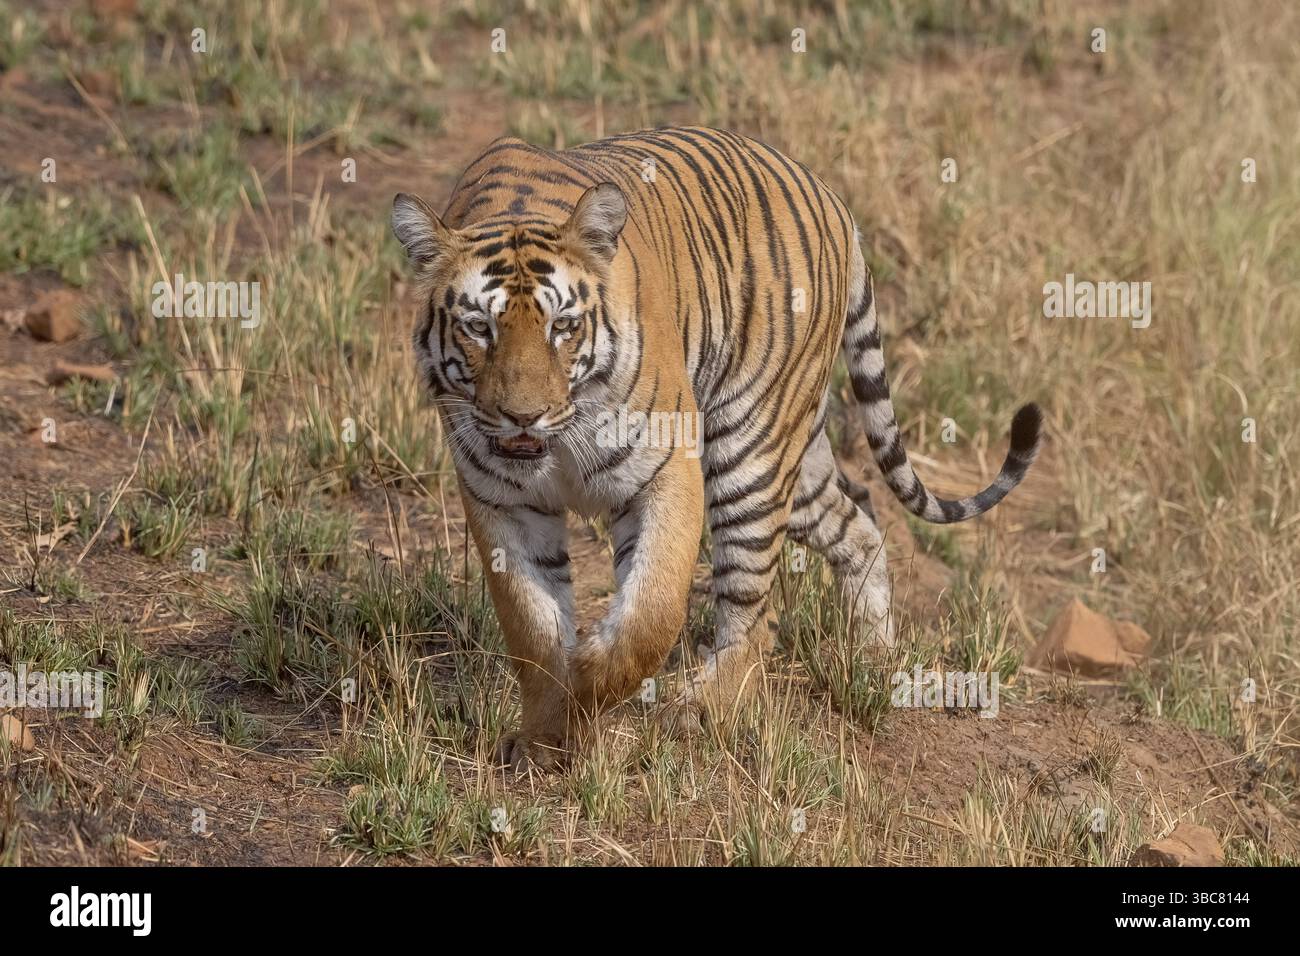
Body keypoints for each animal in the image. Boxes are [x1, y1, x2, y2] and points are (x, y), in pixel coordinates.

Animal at [391, 126, 1042, 770]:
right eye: (479, 328)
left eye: (563, 326)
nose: (523, 416)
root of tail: (829, 194)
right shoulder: (500, 500)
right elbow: (531, 623)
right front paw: (545, 739)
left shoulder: (666, 470)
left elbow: (652, 610)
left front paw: (591, 679)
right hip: (799, 465)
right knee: (859, 523)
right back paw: (873, 663)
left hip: (752, 450)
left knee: (750, 612)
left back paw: (702, 708)